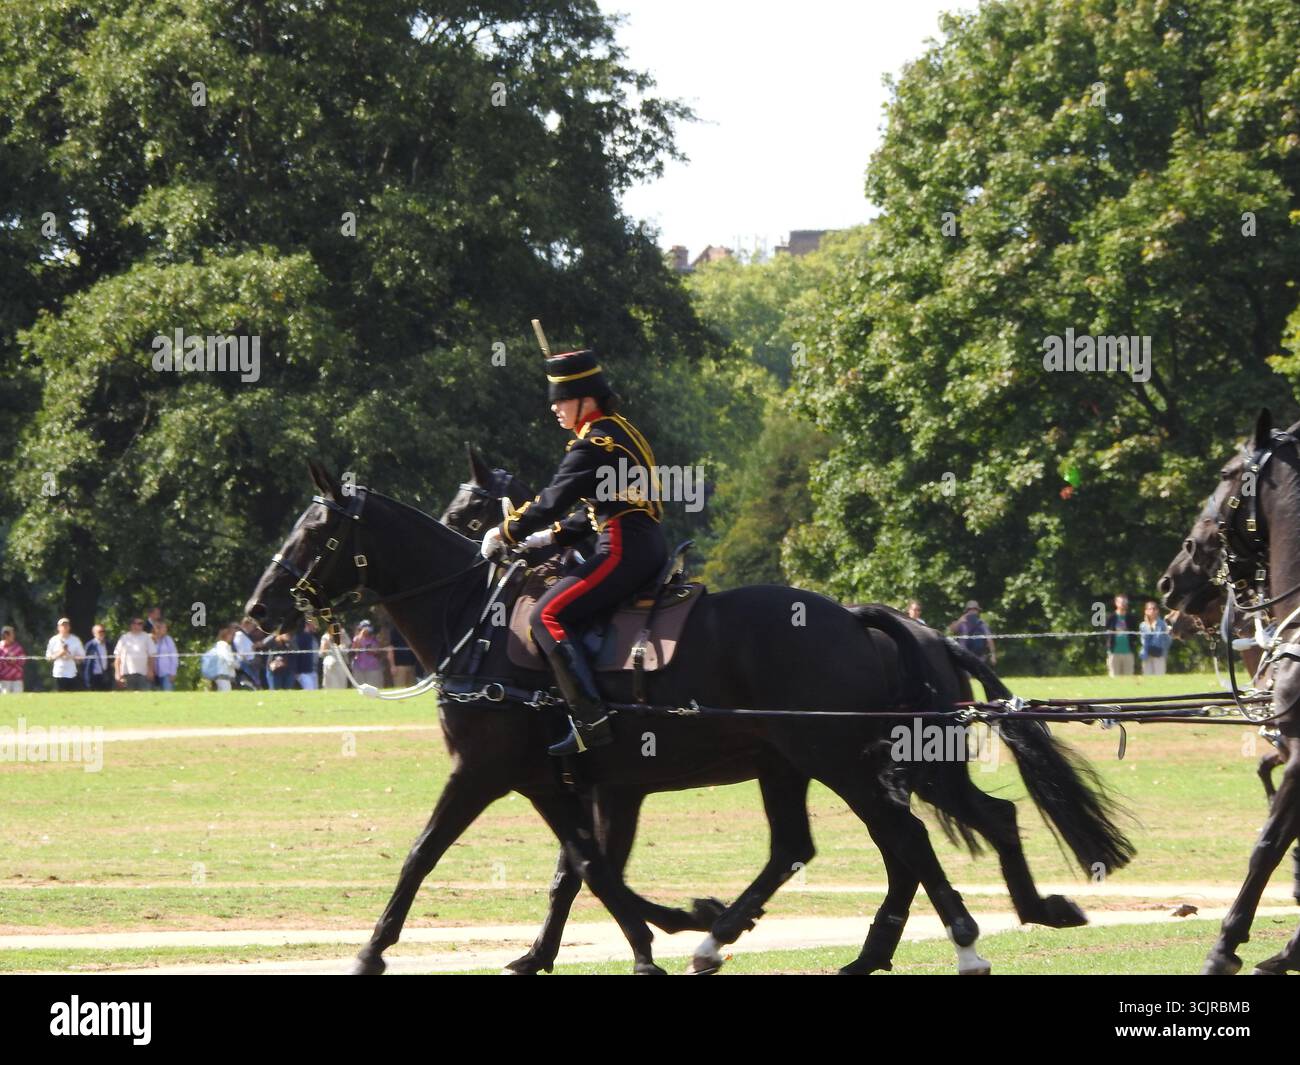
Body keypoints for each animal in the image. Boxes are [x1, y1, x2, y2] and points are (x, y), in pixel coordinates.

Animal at [245, 462, 1133, 975]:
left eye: (316, 529)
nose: (257, 612)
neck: (481, 620)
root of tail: (857, 615)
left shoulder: (489, 773)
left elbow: (429, 855)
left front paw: (372, 947)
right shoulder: (572, 782)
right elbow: (586, 868)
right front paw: (604, 942)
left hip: (842, 760)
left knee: (908, 838)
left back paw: (950, 937)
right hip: (826, 764)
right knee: (899, 833)